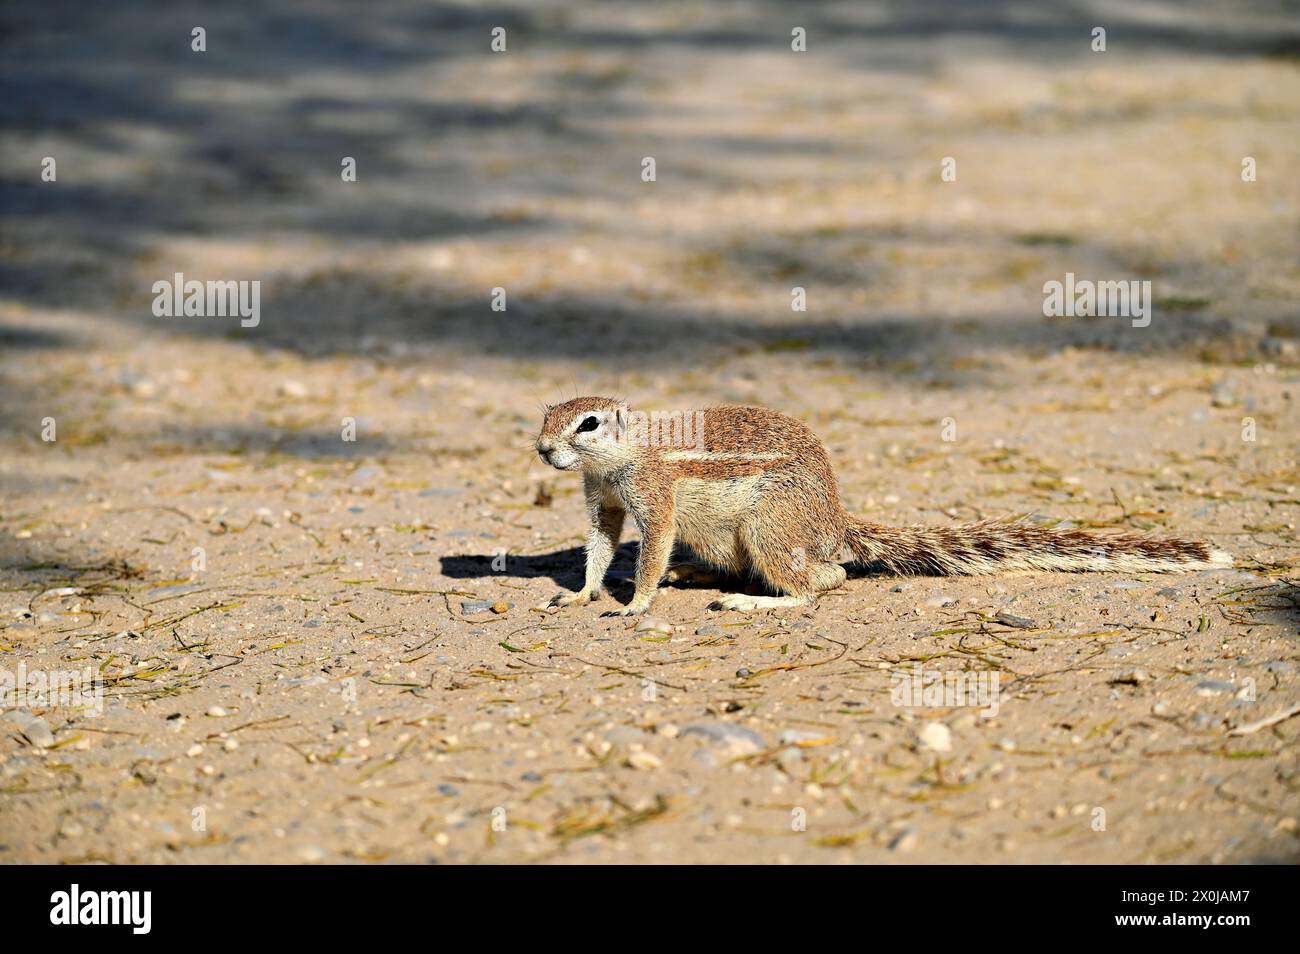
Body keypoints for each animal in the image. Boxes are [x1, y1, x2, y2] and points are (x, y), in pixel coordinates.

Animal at [534, 397, 1232, 616]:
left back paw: (752, 602)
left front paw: (636, 604)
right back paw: (700, 574)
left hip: (768, 526)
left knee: (822, 581)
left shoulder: (654, 492)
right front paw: (583, 592)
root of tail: (836, 521)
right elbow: (600, 545)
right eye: (546, 415)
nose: (542, 449)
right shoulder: (602, 500)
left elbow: (651, 547)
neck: (619, 459)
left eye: (588, 423)